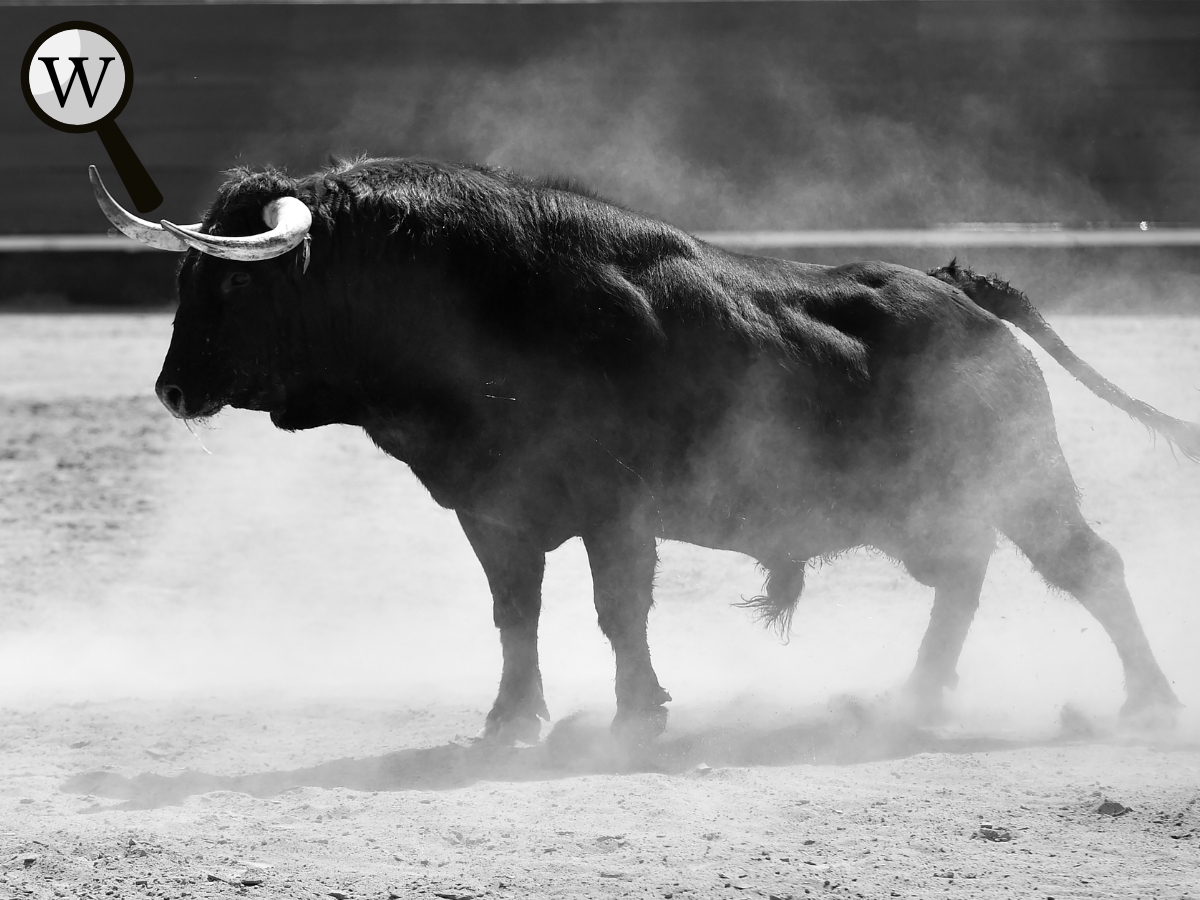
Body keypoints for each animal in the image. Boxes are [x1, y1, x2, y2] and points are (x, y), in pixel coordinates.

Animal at [90, 157, 1195, 742]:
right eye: (185, 281)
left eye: (234, 281)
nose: (172, 389)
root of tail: (960, 289)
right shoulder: (494, 512)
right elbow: (517, 616)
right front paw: (512, 719)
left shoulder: (616, 509)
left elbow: (617, 610)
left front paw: (635, 715)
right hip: (928, 508)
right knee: (963, 577)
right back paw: (914, 698)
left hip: (1027, 482)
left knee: (1090, 567)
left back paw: (1144, 701)